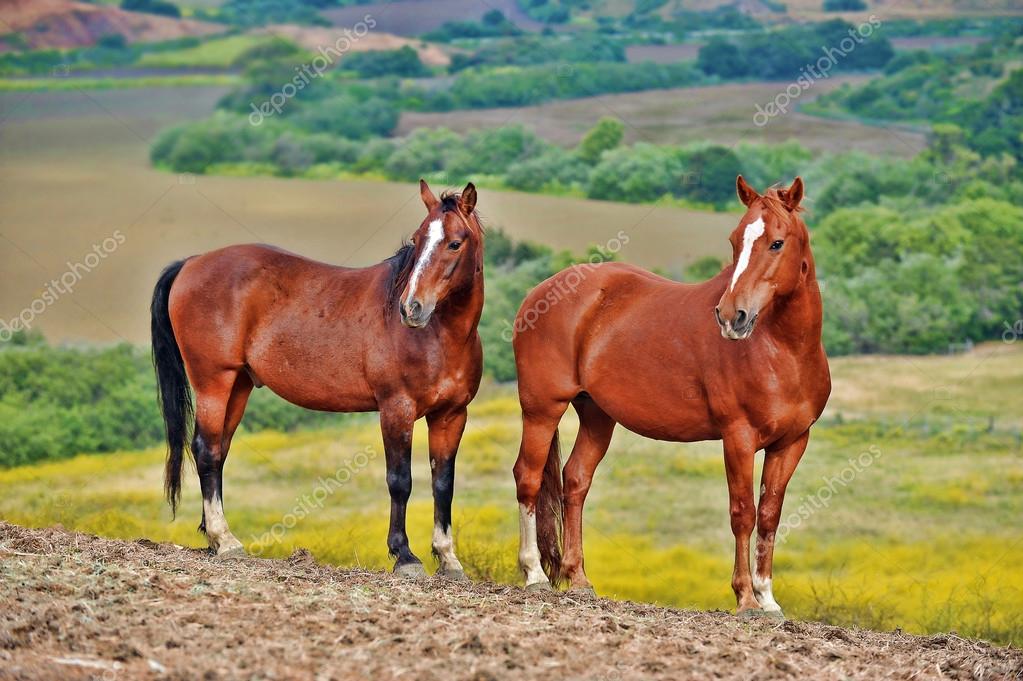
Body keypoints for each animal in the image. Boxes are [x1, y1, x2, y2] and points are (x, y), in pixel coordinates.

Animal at [150, 180, 484, 579]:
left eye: (455, 243)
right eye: (418, 239)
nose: (411, 308)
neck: (441, 336)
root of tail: (192, 263)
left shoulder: (450, 416)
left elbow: (443, 483)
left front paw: (448, 558)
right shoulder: (396, 409)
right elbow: (400, 481)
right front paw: (404, 555)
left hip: (238, 386)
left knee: (217, 452)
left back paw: (214, 537)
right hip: (213, 382)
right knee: (205, 448)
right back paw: (225, 540)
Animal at [511, 176, 830, 616]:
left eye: (777, 243)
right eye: (735, 240)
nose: (731, 316)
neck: (783, 350)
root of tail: (539, 292)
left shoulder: (792, 442)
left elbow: (769, 515)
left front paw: (768, 599)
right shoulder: (738, 438)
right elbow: (743, 513)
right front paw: (746, 597)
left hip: (597, 416)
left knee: (575, 481)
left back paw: (579, 579)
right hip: (542, 409)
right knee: (527, 477)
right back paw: (534, 574)